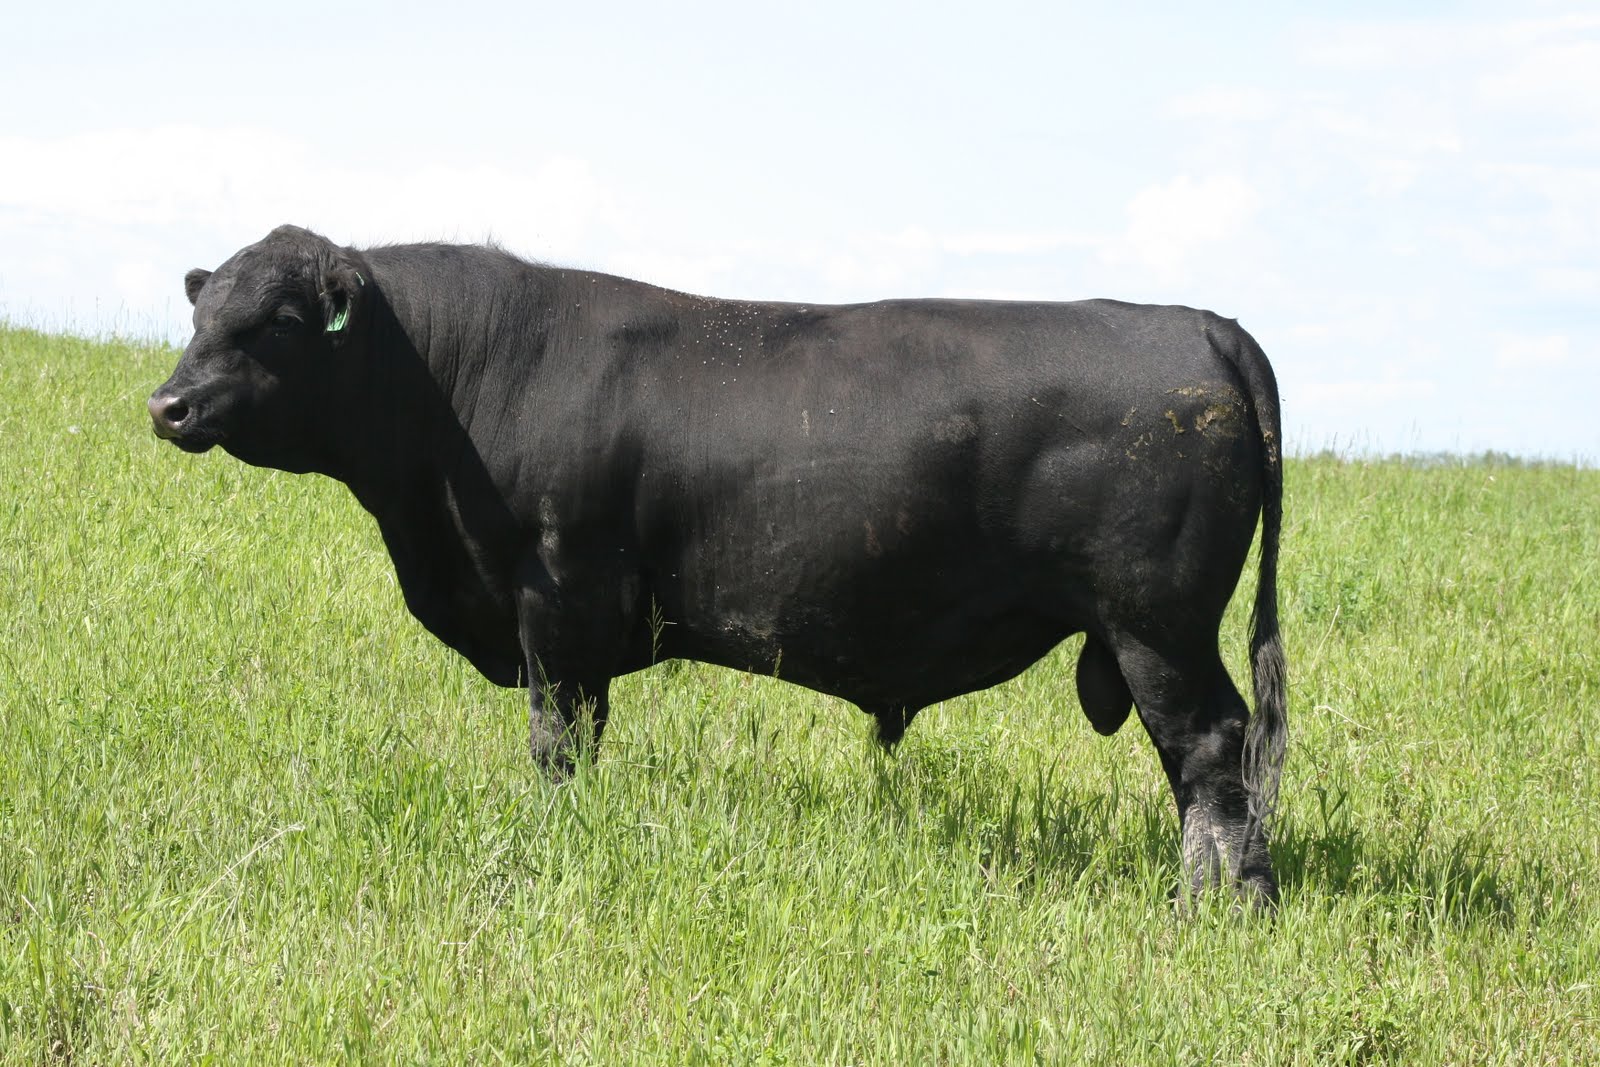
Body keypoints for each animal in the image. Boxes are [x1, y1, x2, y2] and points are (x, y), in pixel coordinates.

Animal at [148, 225, 1288, 902]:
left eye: (278, 320)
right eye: (201, 313)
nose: (169, 404)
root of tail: (1202, 324)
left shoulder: (557, 606)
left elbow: (558, 744)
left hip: (1156, 625)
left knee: (1209, 751)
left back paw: (1215, 901)